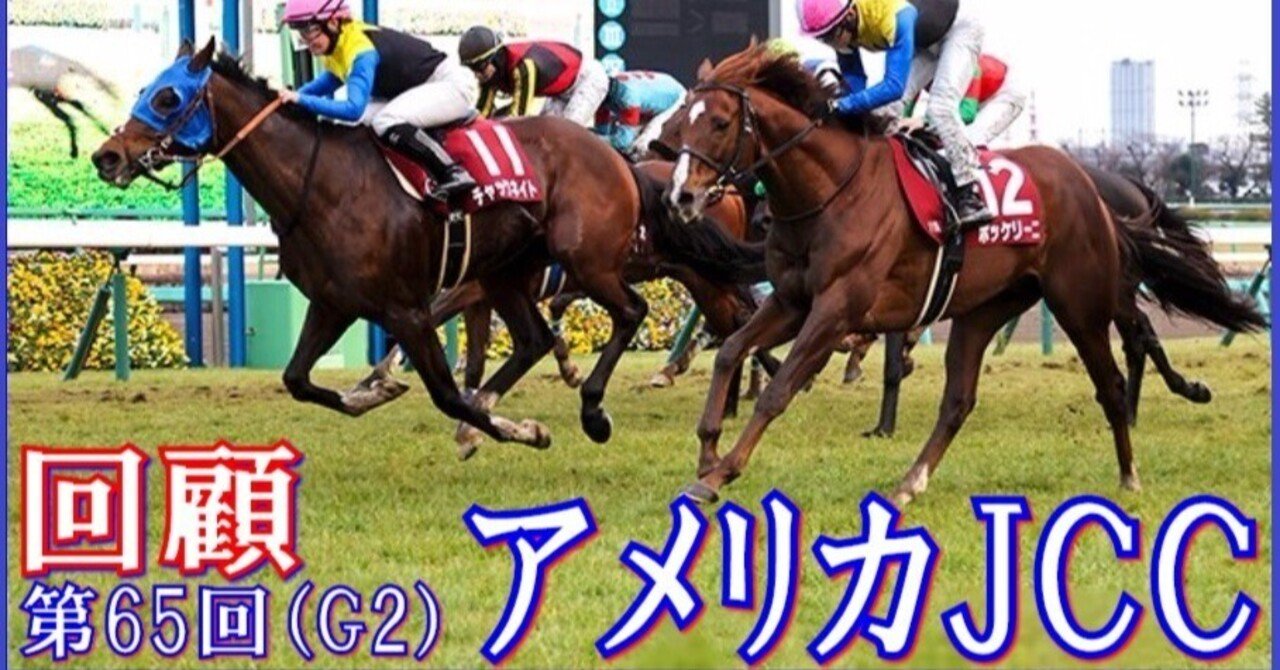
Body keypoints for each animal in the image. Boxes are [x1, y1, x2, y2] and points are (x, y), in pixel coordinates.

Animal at [93, 39, 760, 452]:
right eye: (149, 89)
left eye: (168, 96)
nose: (107, 156)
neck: (319, 181)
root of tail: (617, 159)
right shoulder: (335, 303)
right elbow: (298, 379)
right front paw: (372, 393)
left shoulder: (409, 307)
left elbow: (447, 395)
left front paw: (517, 428)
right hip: (511, 274)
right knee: (538, 338)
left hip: (592, 260)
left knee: (643, 312)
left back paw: (600, 409)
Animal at [664, 44, 1265, 505]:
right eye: (682, 120)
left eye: (719, 122)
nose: (681, 196)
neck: (833, 191)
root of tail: (1092, 189)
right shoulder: (792, 301)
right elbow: (729, 350)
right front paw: (708, 449)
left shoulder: (838, 310)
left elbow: (780, 388)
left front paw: (720, 472)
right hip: (983, 310)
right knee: (959, 400)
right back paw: (910, 482)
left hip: (1079, 302)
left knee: (1113, 380)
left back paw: (1129, 475)